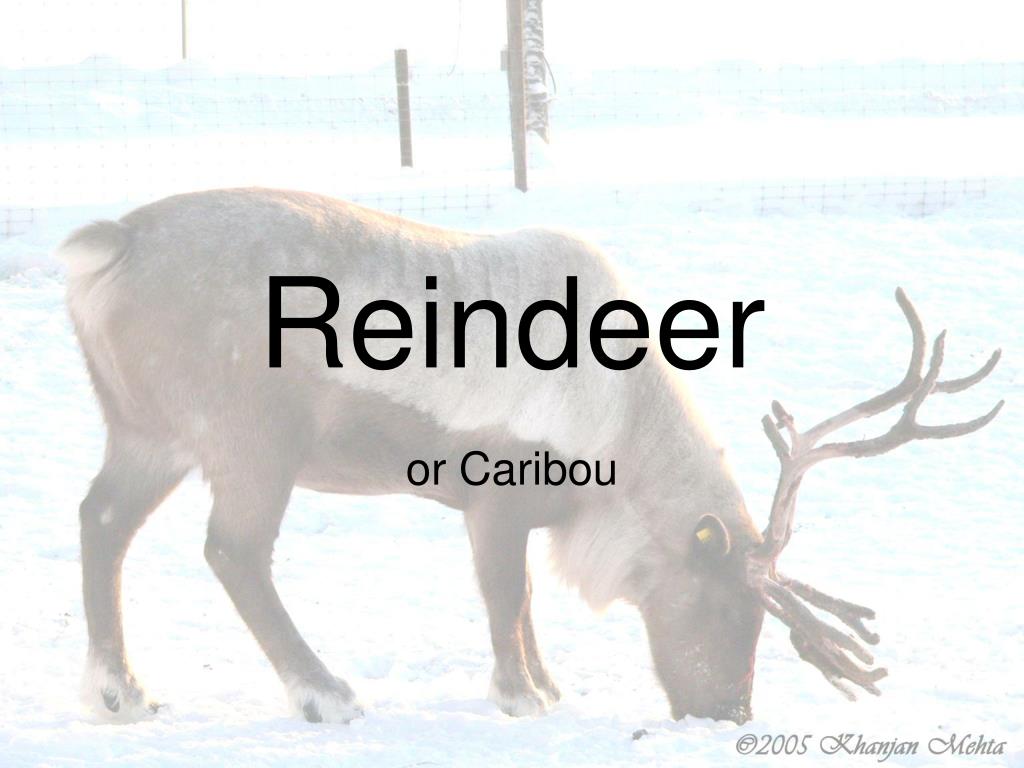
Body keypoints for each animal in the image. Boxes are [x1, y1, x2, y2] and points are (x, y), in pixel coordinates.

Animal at [59, 187, 1003, 725]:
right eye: (731, 607)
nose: (732, 713)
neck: (624, 431)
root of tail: (113, 243)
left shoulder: (534, 514)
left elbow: (526, 606)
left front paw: (547, 686)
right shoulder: (499, 498)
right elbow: (505, 598)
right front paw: (520, 697)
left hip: (149, 432)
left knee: (100, 519)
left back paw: (120, 690)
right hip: (252, 438)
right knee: (234, 551)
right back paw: (324, 692)